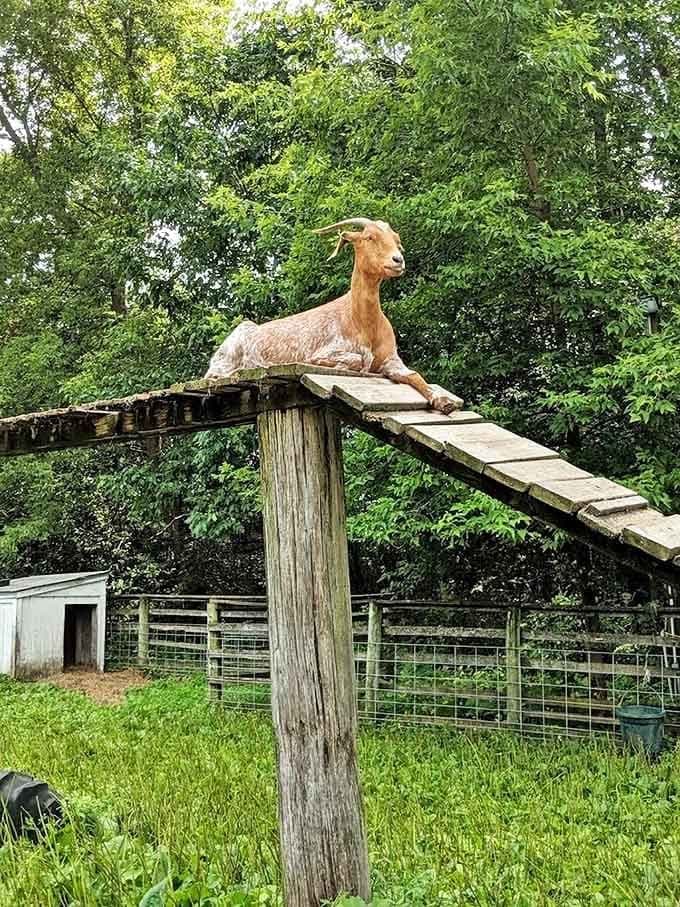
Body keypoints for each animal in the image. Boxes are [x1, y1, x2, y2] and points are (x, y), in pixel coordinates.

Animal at [205, 217, 459, 413]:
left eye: (397, 240)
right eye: (369, 237)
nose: (398, 260)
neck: (362, 321)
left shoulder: (391, 360)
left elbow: (414, 375)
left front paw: (443, 401)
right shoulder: (326, 350)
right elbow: (356, 361)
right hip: (225, 358)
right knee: (214, 376)